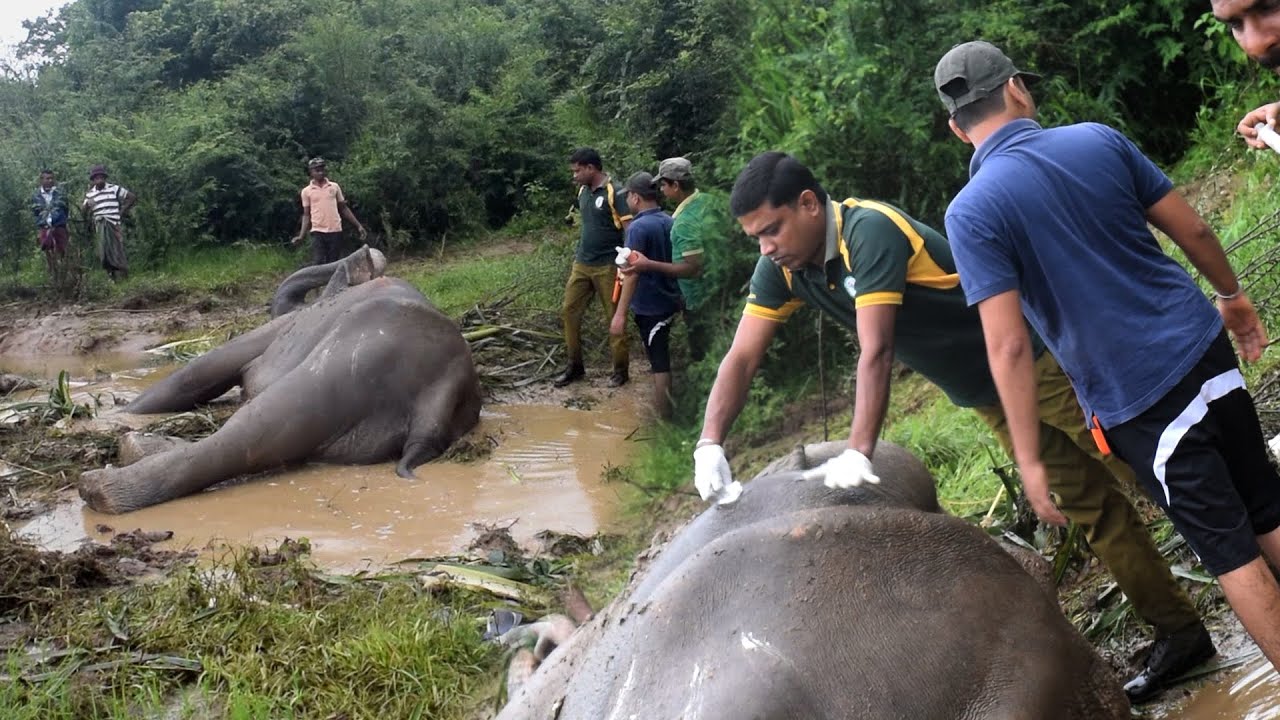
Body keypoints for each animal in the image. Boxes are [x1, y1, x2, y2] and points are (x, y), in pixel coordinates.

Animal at [78, 246, 483, 514]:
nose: (367, 251)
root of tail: (447, 385)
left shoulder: (275, 330)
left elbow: (200, 371)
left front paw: (116, 416)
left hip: (346, 365)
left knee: (247, 432)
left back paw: (100, 486)